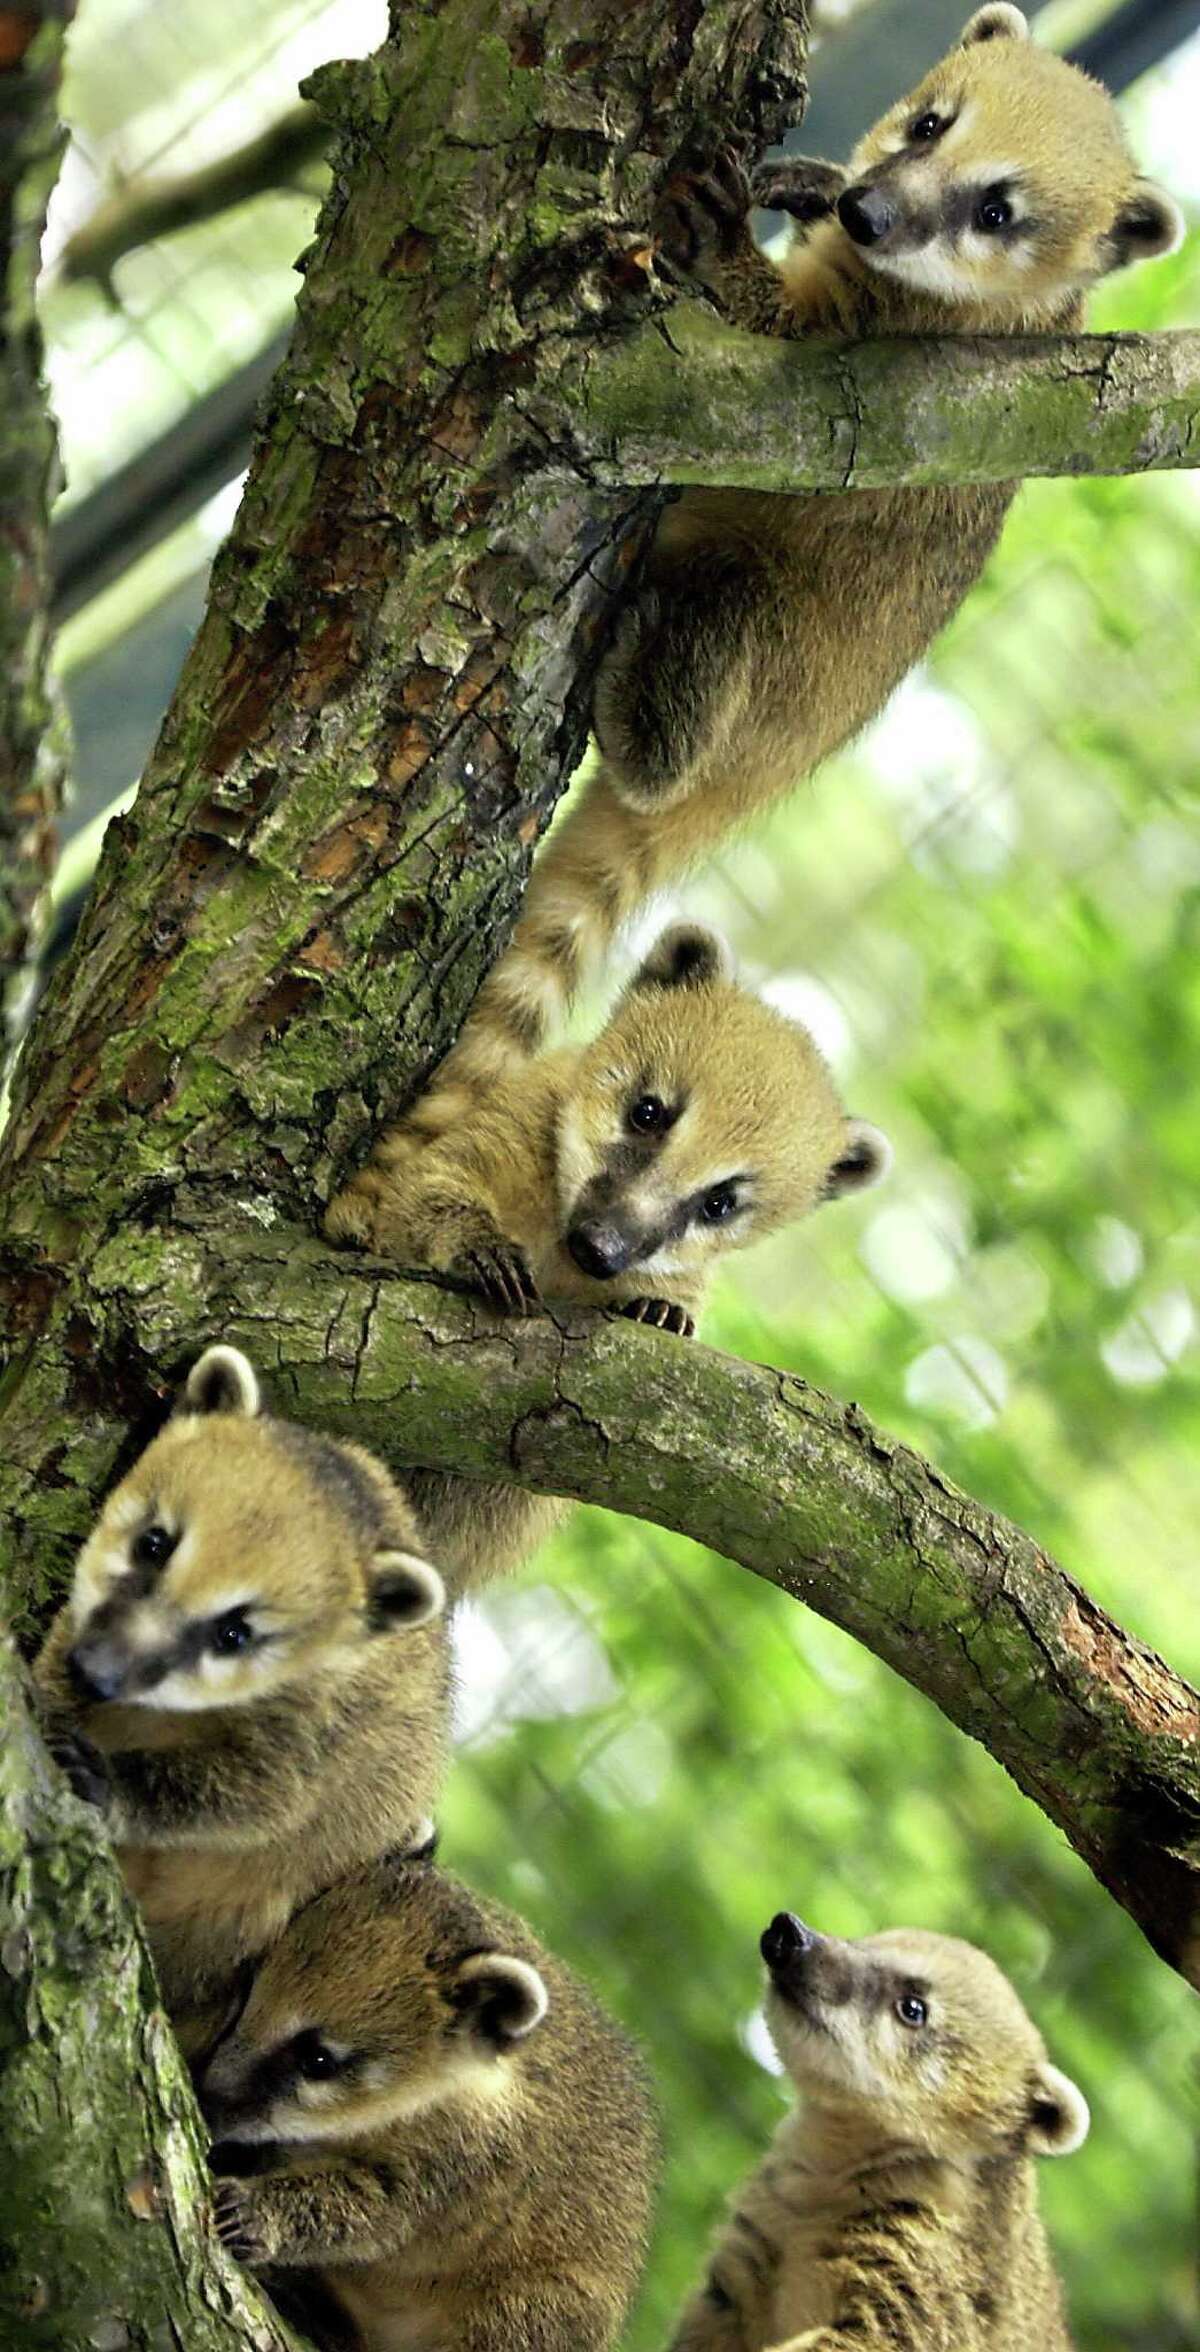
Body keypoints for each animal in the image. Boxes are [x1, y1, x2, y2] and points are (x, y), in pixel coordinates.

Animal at [34, 1344, 452, 2053]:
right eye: (154, 1543)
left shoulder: (334, 1726)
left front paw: (122, 1785)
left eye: (234, 1634)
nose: (96, 1672)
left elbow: (260, 1795)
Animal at [200, 1851, 659, 2352]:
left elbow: (378, 2207)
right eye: (249, 1992)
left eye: (318, 2060)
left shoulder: (476, 2159)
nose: (205, 2095)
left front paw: (264, 2212)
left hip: (542, 2307)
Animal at [327, 922, 888, 1589]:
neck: (559, 1238)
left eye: (720, 1203)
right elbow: (424, 1188)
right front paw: (472, 1238)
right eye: (649, 1112)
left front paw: (662, 1307)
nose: (602, 1250)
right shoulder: (517, 1110)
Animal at [395, 3, 1183, 1129]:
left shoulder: (893, 339)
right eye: (931, 122)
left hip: (756, 634)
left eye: (997, 212)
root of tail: (773, 768)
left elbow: (776, 324)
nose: (868, 211)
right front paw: (808, 178)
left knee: (681, 705)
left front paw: (726, 243)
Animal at [668, 1908, 1090, 2352]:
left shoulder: (932, 2263)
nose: (790, 1933)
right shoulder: (761, 2232)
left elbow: (878, 2336)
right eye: (867, 1941)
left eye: (913, 2008)